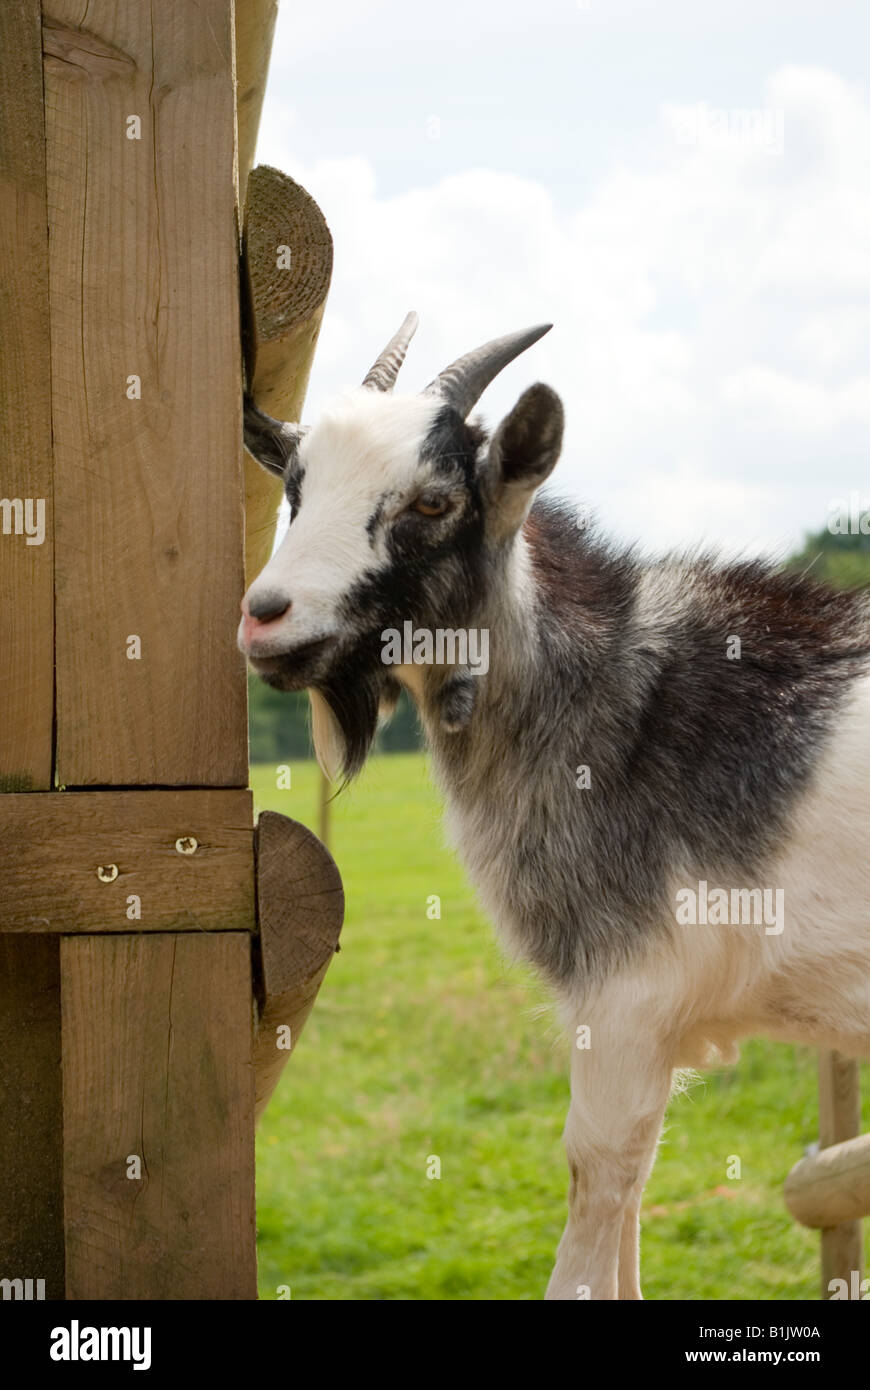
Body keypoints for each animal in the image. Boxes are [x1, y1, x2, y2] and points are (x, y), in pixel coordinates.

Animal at [239, 312, 870, 1299]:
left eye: (432, 503)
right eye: (296, 488)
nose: (266, 616)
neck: (614, 698)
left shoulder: (628, 996)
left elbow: (594, 1182)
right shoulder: (637, 1022)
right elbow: (629, 1200)